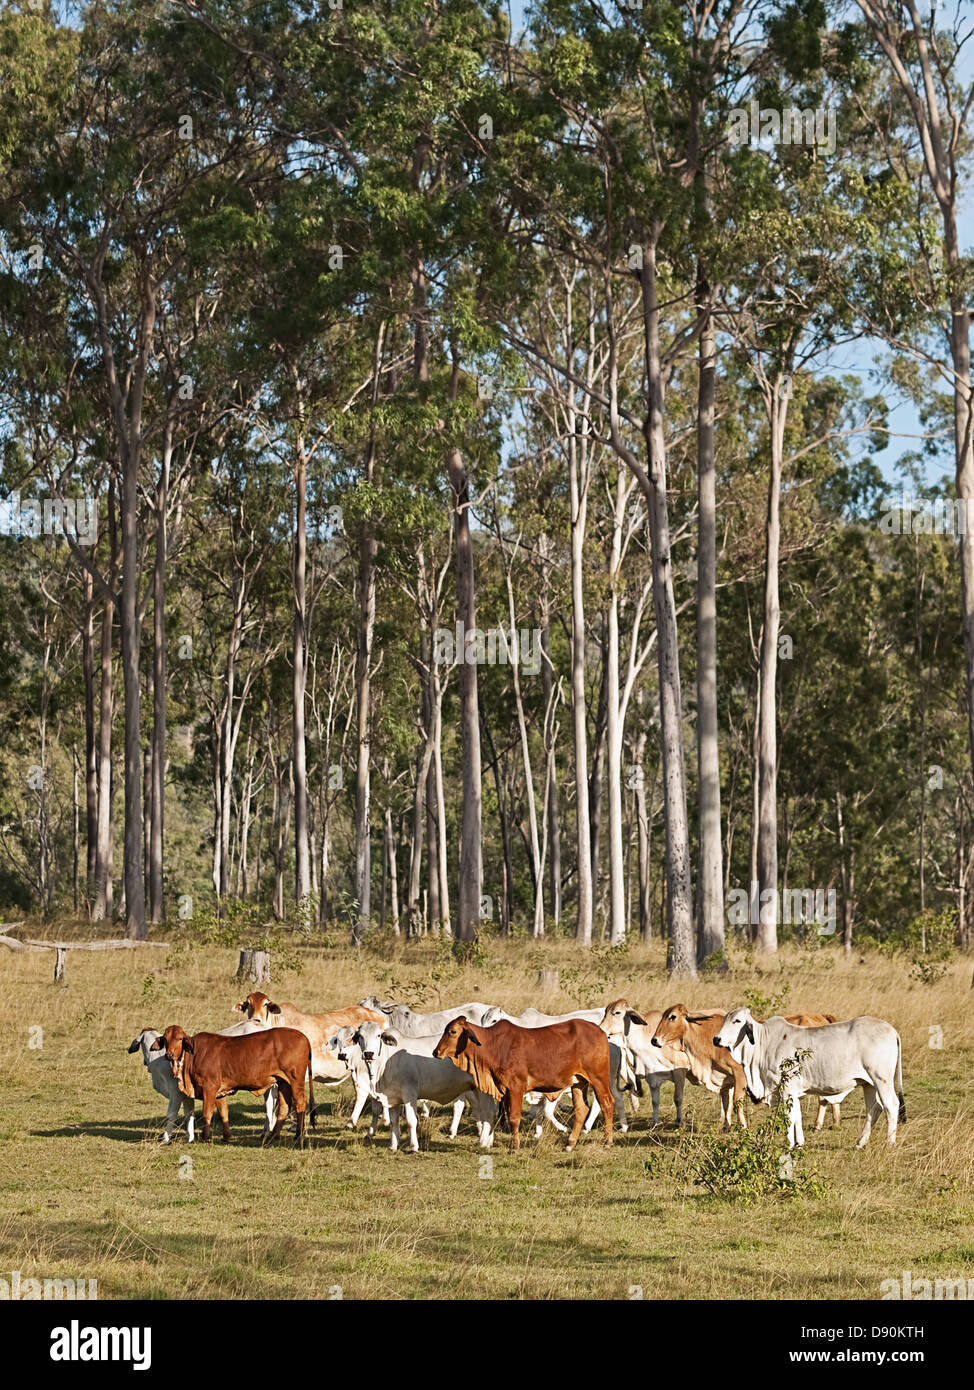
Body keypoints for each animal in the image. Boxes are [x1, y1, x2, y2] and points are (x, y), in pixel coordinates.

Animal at [151, 1025, 314, 1145]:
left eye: (179, 1039)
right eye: (165, 1039)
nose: (169, 1055)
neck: (193, 1055)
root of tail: (303, 1037)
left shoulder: (209, 1087)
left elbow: (207, 1112)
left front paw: (205, 1136)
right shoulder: (219, 1092)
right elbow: (223, 1112)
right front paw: (226, 1136)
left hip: (295, 1080)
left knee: (300, 1103)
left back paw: (298, 1136)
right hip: (283, 1082)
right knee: (285, 1106)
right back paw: (273, 1136)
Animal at [337, 1024, 496, 1152]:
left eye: (378, 1035)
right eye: (360, 1036)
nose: (369, 1053)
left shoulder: (409, 1094)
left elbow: (411, 1121)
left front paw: (413, 1146)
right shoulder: (392, 1097)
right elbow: (394, 1122)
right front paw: (393, 1146)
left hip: (482, 1090)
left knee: (488, 1113)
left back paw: (482, 1142)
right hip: (474, 1089)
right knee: (485, 1112)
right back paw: (488, 1141)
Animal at [434, 1016, 615, 1151]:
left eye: (452, 1031)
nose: (436, 1052)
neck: (493, 1046)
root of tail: (600, 1031)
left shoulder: (516, 1088)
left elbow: (514, 1118)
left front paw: (514, 1147)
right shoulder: (506, 1091)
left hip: (598, 1078)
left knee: (607, 1103)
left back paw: (607, 1142)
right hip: (578, 1083)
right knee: (582, 1110)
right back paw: (570, 1144)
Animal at [713, 1007, 905, 1149]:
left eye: (737, 1021)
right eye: (725, 1020)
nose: (716, 1039)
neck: (764, 1043)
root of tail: (892, 1030)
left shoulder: (787, 1088)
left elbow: (790, 1117)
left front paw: (789, 1144)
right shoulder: (792, 1091)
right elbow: (797, 1115)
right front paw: (799, 1143)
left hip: (881, 1079)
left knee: (891, 1105)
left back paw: (890, 1143)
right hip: (868, 1083)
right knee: (874, 1109)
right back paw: (860, 1143)